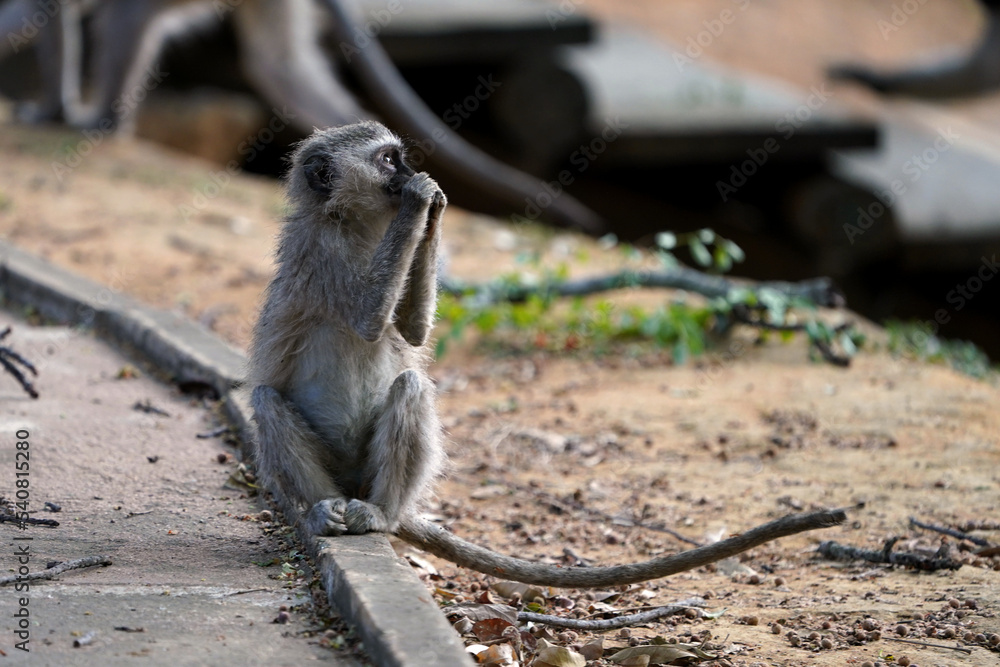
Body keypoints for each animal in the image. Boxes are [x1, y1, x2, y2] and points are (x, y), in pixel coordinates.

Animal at [248, 120, 848, 588]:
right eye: (388, 160)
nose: (406, 174)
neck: (351, 224)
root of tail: (357, 491)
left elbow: (410, 336)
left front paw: (433, 207)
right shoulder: (320, 253)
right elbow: (371, 323)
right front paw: (421, 198)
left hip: (370, 475)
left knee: (409, 386)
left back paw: (379, 514)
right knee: (268, 400)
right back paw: (323, 511)